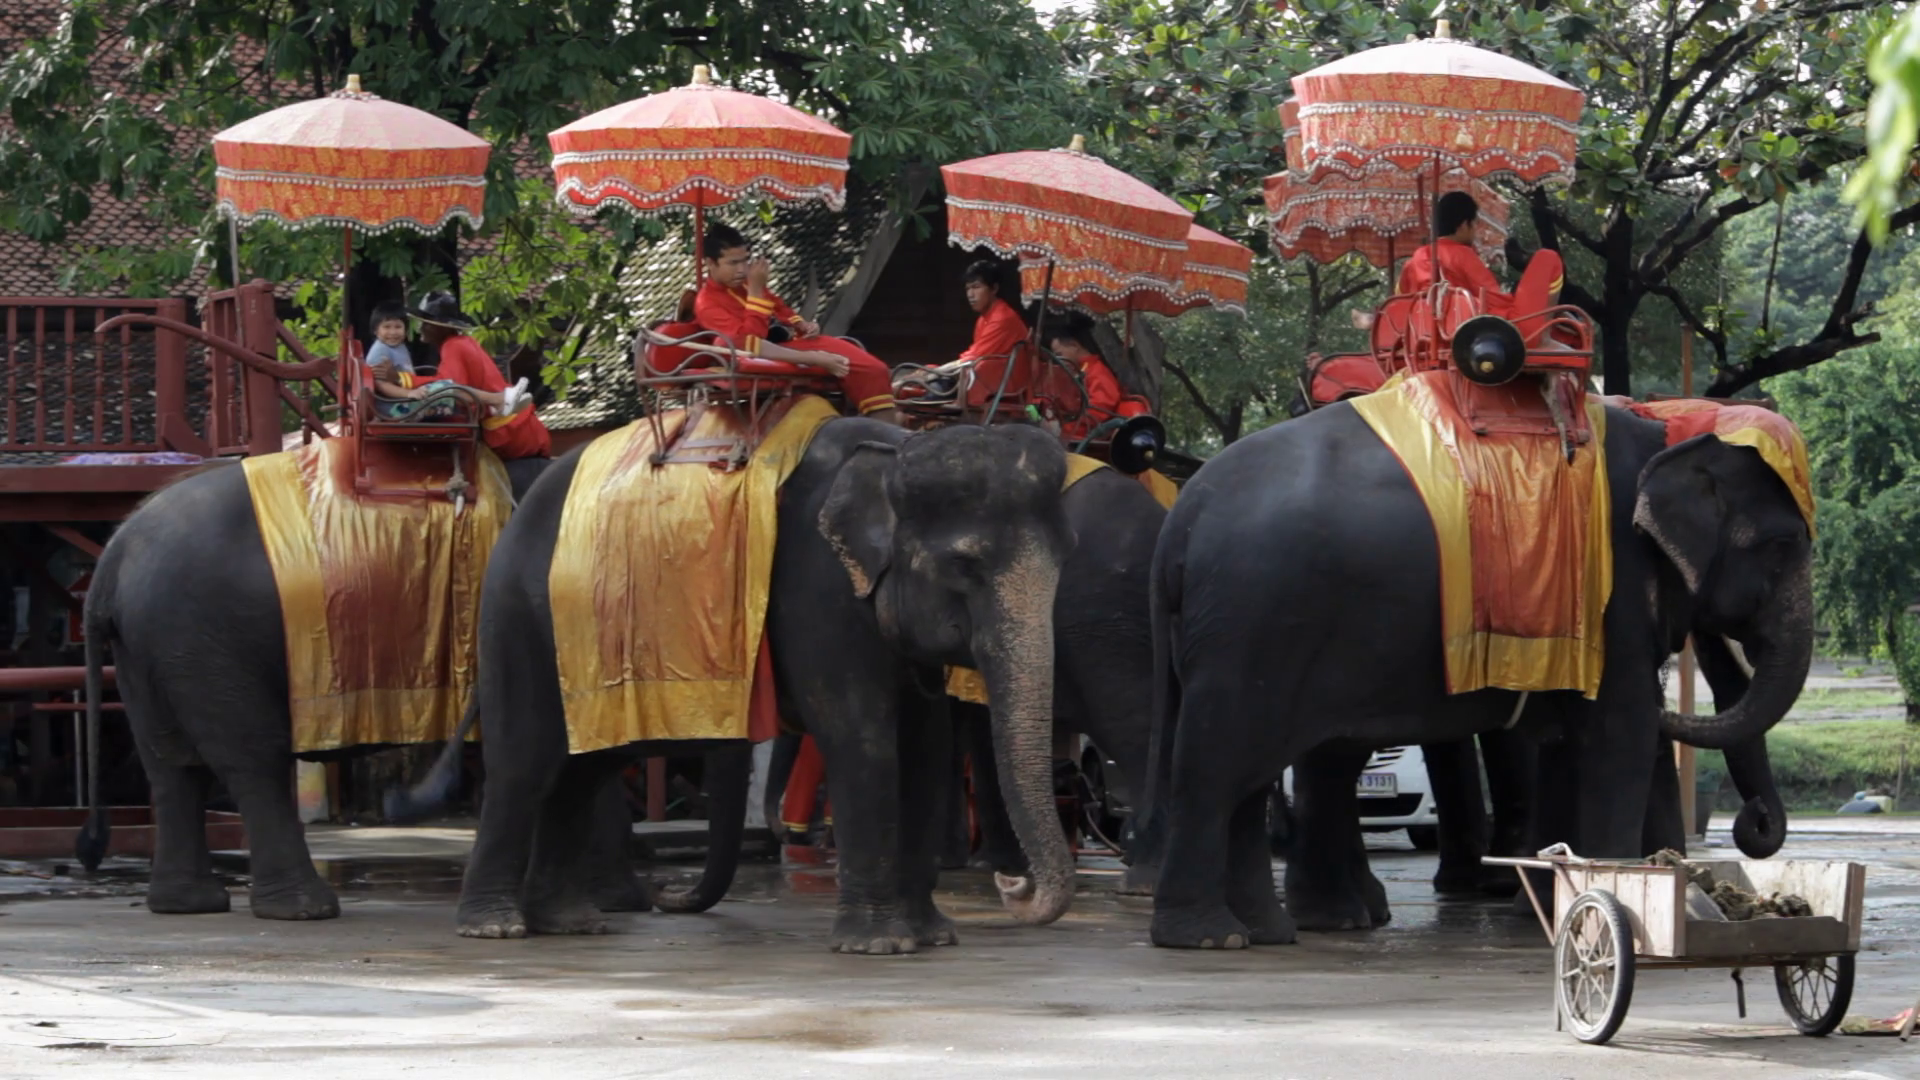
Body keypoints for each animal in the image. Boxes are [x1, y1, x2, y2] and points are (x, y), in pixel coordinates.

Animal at [77, 454, 551, 919]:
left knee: (172, 763)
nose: (397, 801)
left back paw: (189, 904)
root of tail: (112, 559)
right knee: (253, 758)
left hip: (149, 648)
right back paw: (307, 908)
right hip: (201, 639)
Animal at [452, 420, 1080, 952]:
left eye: (1063, 565)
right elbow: (863, 738)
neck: (895, 452)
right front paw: (879, 945)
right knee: (527, 764)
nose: (1011, 884)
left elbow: (926, 747)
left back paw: (567, 923)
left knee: (581, 772)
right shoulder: (818, 586)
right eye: (965, 566)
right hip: (517, 614)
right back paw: (496, 928)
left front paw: (933, 937)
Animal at [1144, 399, 1814, 949]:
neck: (1667, 433)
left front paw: (1549, 909)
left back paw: (1271, 931)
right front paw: (1604, 905)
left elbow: (1571, 738)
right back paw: (1212, 937)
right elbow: (1617, 728)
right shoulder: (1610, 586)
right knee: (1220, 762)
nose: (1754, 824)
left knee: (1263, 770)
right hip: (1252, 621)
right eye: (1781, 548)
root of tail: (1179, 525)